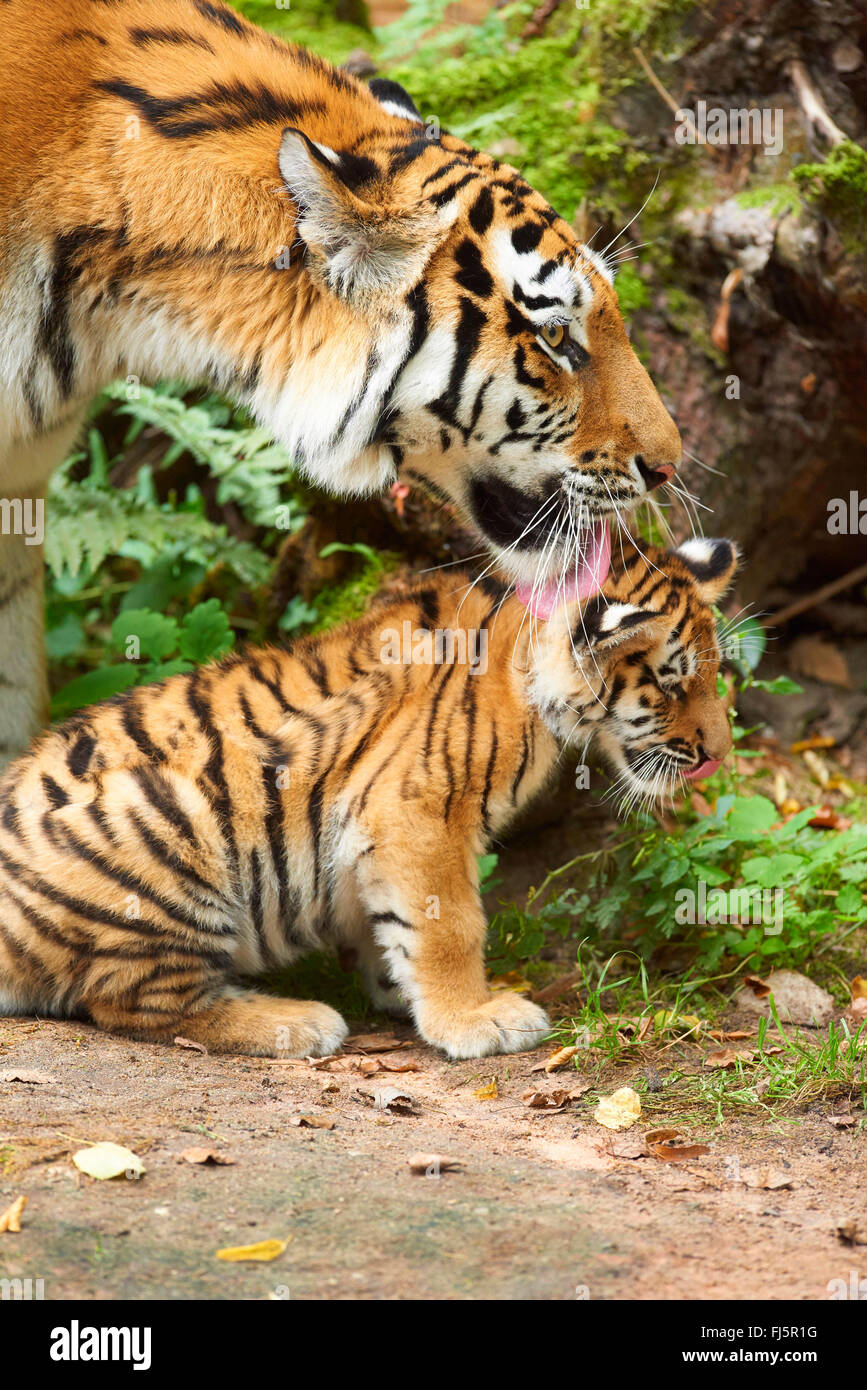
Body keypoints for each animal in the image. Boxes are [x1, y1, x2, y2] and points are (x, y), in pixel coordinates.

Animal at [0, 534, 738, 1060]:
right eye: (670, 683)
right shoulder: (419, 815)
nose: (718, 754)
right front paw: (473, 1018)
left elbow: (391, 919)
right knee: (132, 1001)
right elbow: (450, 925)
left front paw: (400, 991)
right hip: (166, 819)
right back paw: (295, 1022)